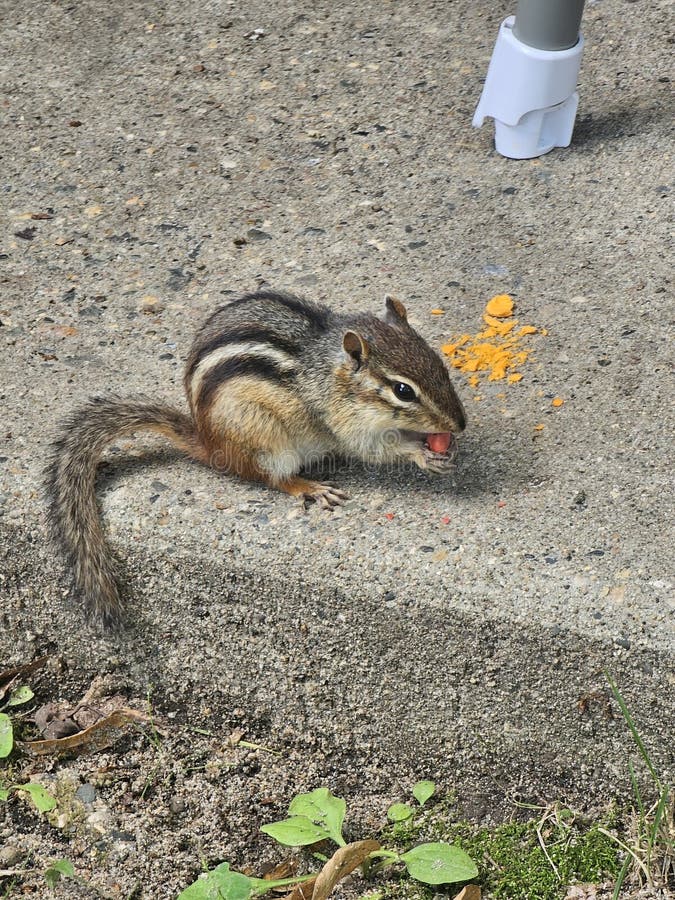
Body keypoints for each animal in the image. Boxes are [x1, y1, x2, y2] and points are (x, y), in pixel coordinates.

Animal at [46, 290, 466, 628]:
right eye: (403, 390)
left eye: (439, 364)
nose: (459, 424)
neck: (331, 373)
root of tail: (209, 442)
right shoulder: (346, 423)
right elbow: (376, 449)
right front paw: (421, 453)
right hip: (267, 441)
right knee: (272, 479)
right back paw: (309, 486)